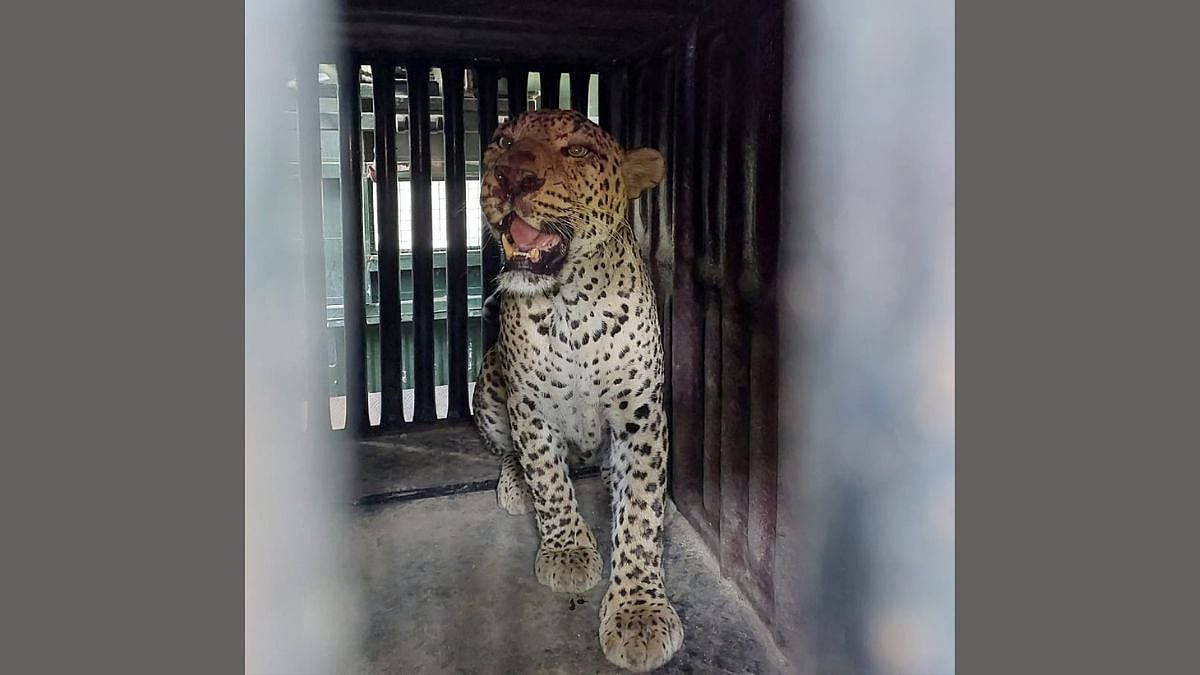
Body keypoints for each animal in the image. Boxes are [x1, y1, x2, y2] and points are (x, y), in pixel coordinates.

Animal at [471, 108, 682, 672]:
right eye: (502, 142)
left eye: (578, 151)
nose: (510, 177)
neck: (572, 304)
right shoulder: (529, 408)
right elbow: (550, 481)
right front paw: (567, 551)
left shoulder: (641, 415)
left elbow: (640, 516)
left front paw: (638, 613)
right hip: (488, 382)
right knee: (509, 454)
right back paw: (514, 485)